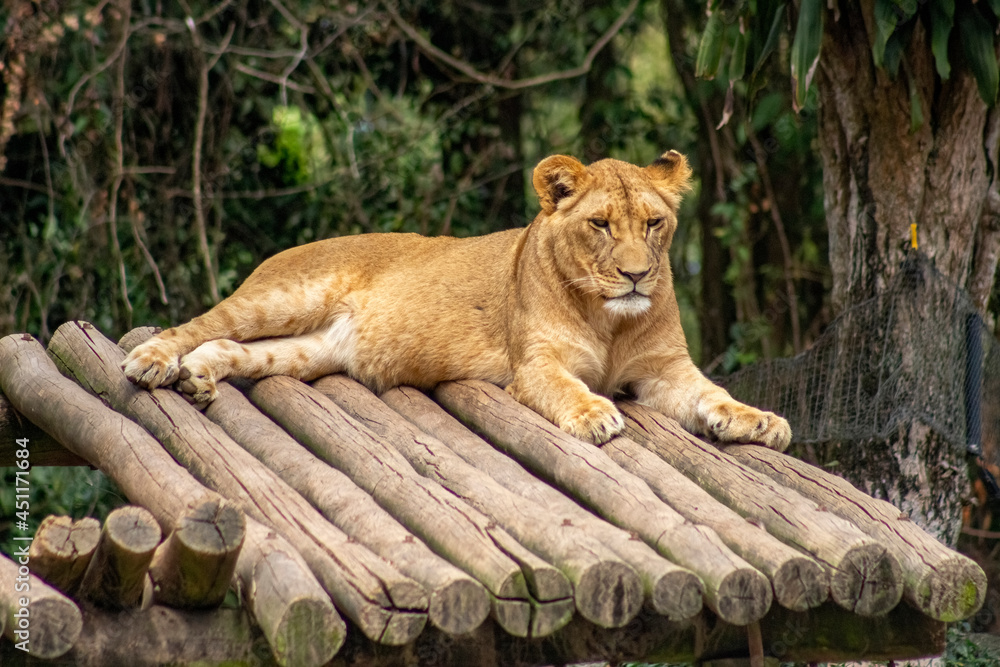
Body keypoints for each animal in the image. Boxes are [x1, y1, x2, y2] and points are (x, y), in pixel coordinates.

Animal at [121, 150, 791, 450]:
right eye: (600, 225)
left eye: (654, 224)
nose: (635, 276)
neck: (612, 322)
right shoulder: (535, 364)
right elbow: (568, 387)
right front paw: (594, 413)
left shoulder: (665, 369)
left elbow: (711, 394)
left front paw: (759, 420)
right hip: (282, 297)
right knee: (198, 323)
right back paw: (151, 362)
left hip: (311, 350)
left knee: (228, 345)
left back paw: (200, 376)